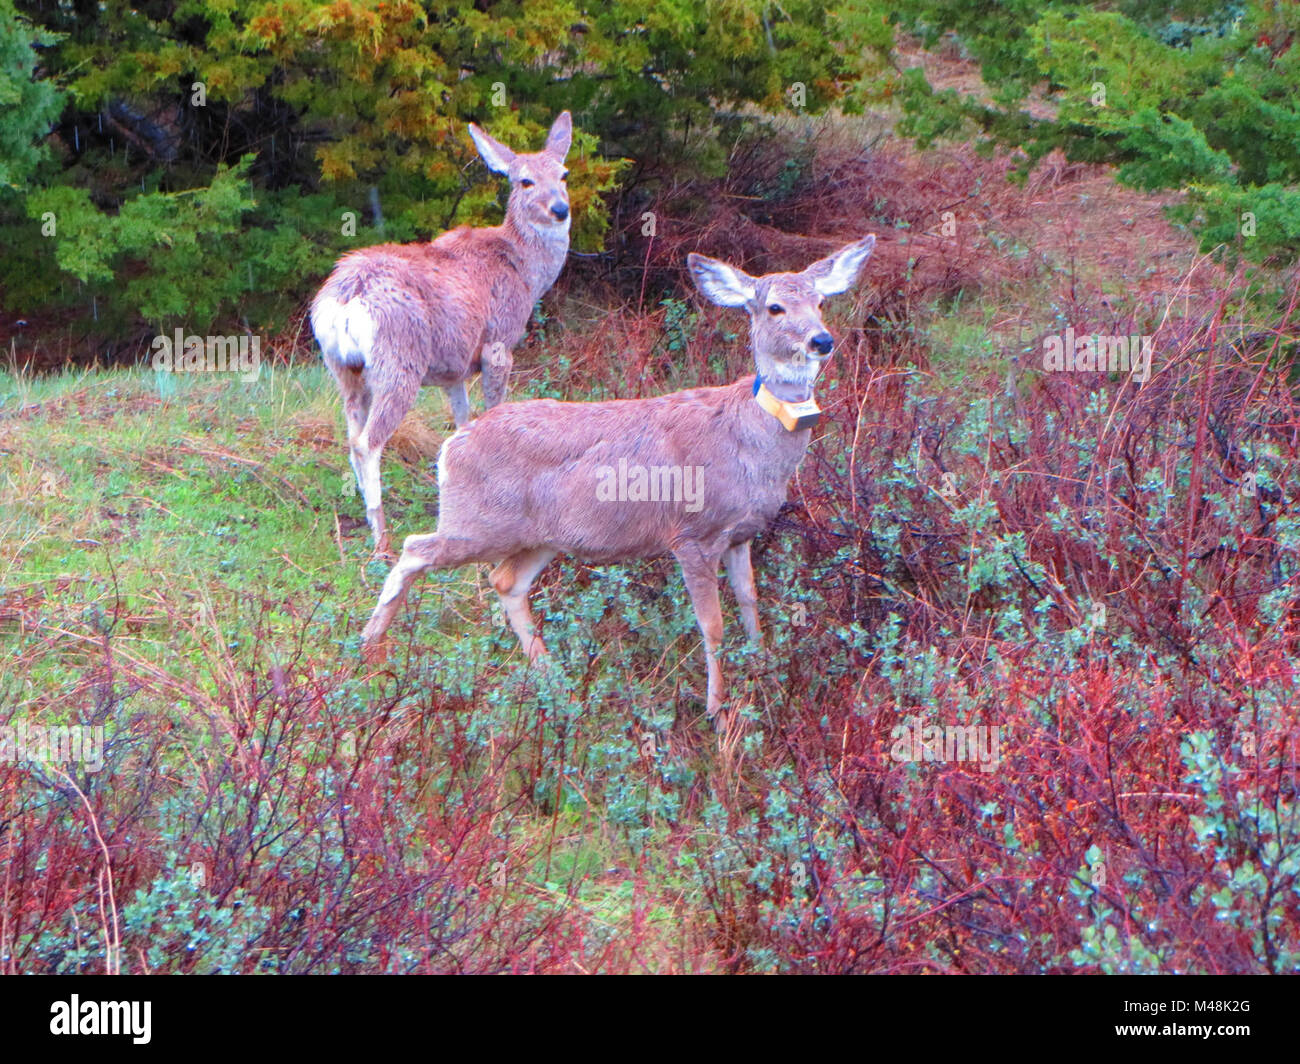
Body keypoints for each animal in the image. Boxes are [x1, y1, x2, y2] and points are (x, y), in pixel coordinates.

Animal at [310, 111, 574, 556]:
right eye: (524, 181)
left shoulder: (454, 368)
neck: (524, 269)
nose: (560, 208)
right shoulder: (498, 342)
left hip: (344, 368)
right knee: (368, 442)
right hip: (398, 361)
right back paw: (382, 538)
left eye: (564, 174)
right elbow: (492, 410)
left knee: (351, 436)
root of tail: (347, 296)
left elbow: (463, 422)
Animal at [359, 234, 876, 719]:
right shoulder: (691, 534)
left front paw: (765, 670)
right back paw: (370, 647)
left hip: (540, 535)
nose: (822, 340)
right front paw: (716, 708)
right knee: (415, 549)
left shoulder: (742, 534)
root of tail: (452, 447)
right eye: (774, 307)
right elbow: (712, 625)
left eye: (820, 301)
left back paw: (552, 677)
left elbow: (750, 603)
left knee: (505, 581)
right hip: (478, 521)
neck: (750, 438)